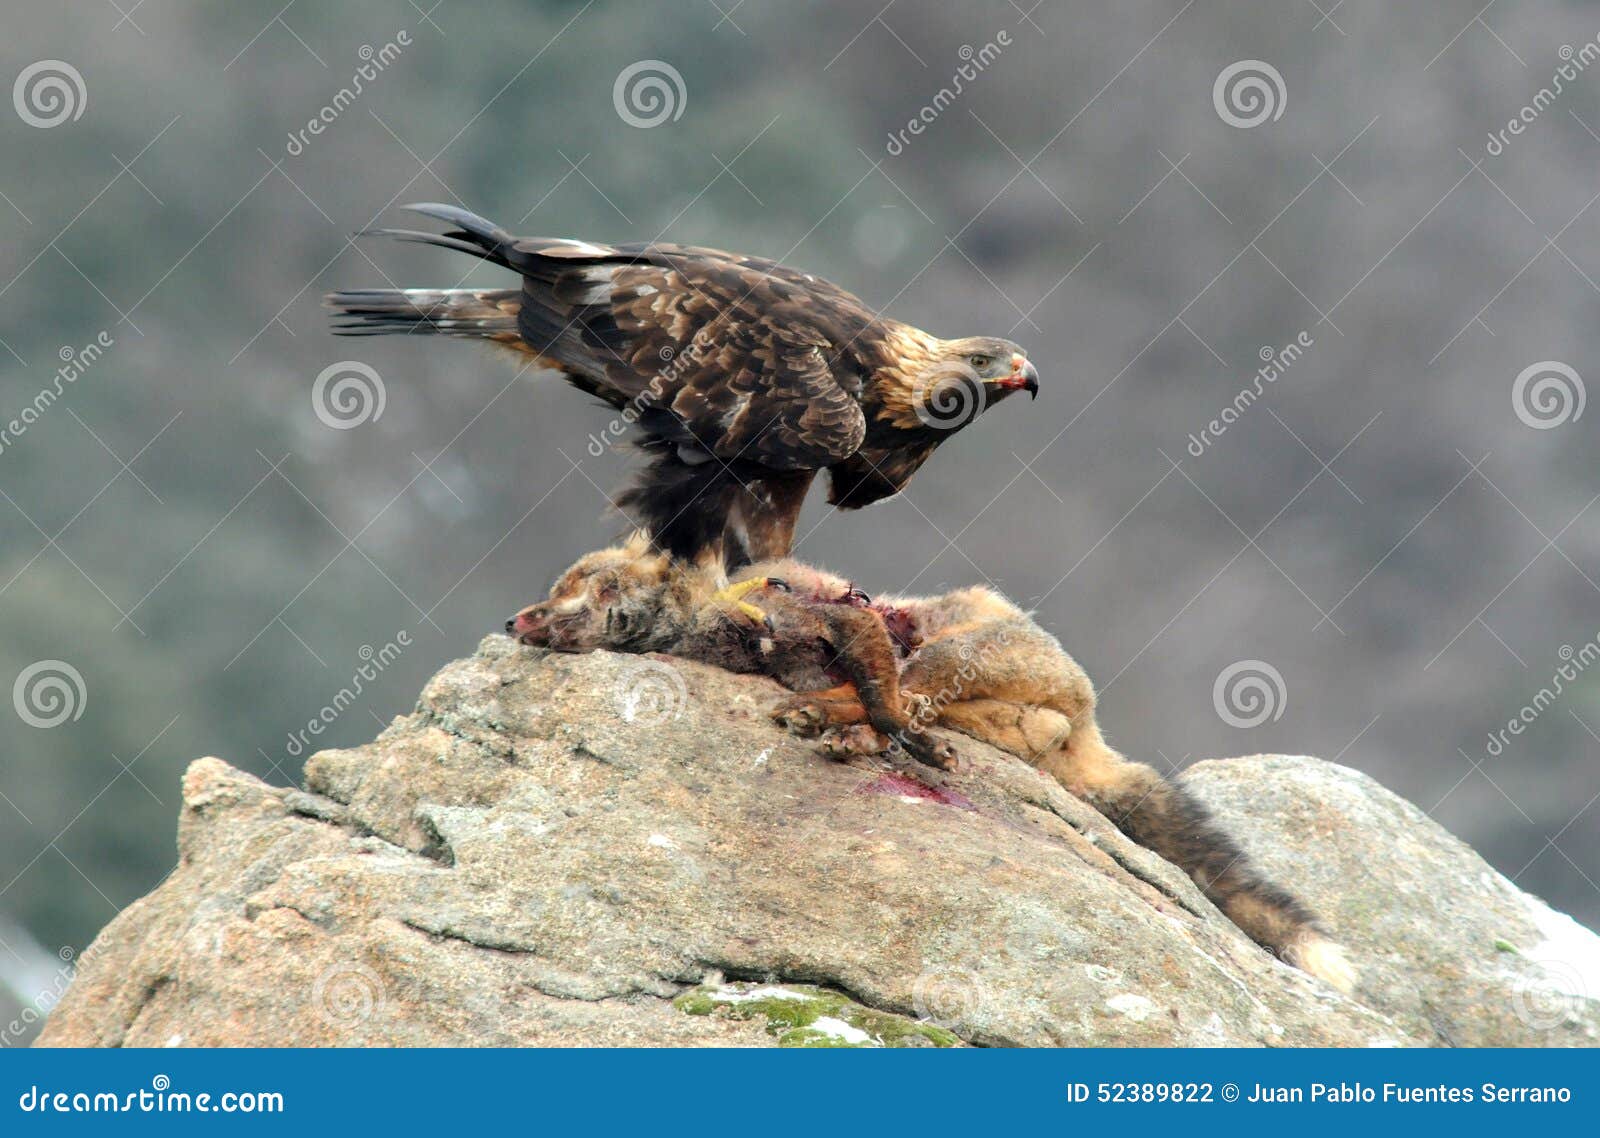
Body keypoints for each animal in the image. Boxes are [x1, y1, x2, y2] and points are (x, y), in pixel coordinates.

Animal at [507, 538, 1357, 993]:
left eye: (590, 586)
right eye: (557, 590)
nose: (518, 620)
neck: (725, 621)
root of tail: (1086, 720)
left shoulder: (841, 625)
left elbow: (878, 699)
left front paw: (875, 736)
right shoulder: (807, 654)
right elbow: (866, 700)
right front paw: (856, 729)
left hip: (951, 655)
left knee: (906, 700)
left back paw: (853, 731)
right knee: (912, 707)